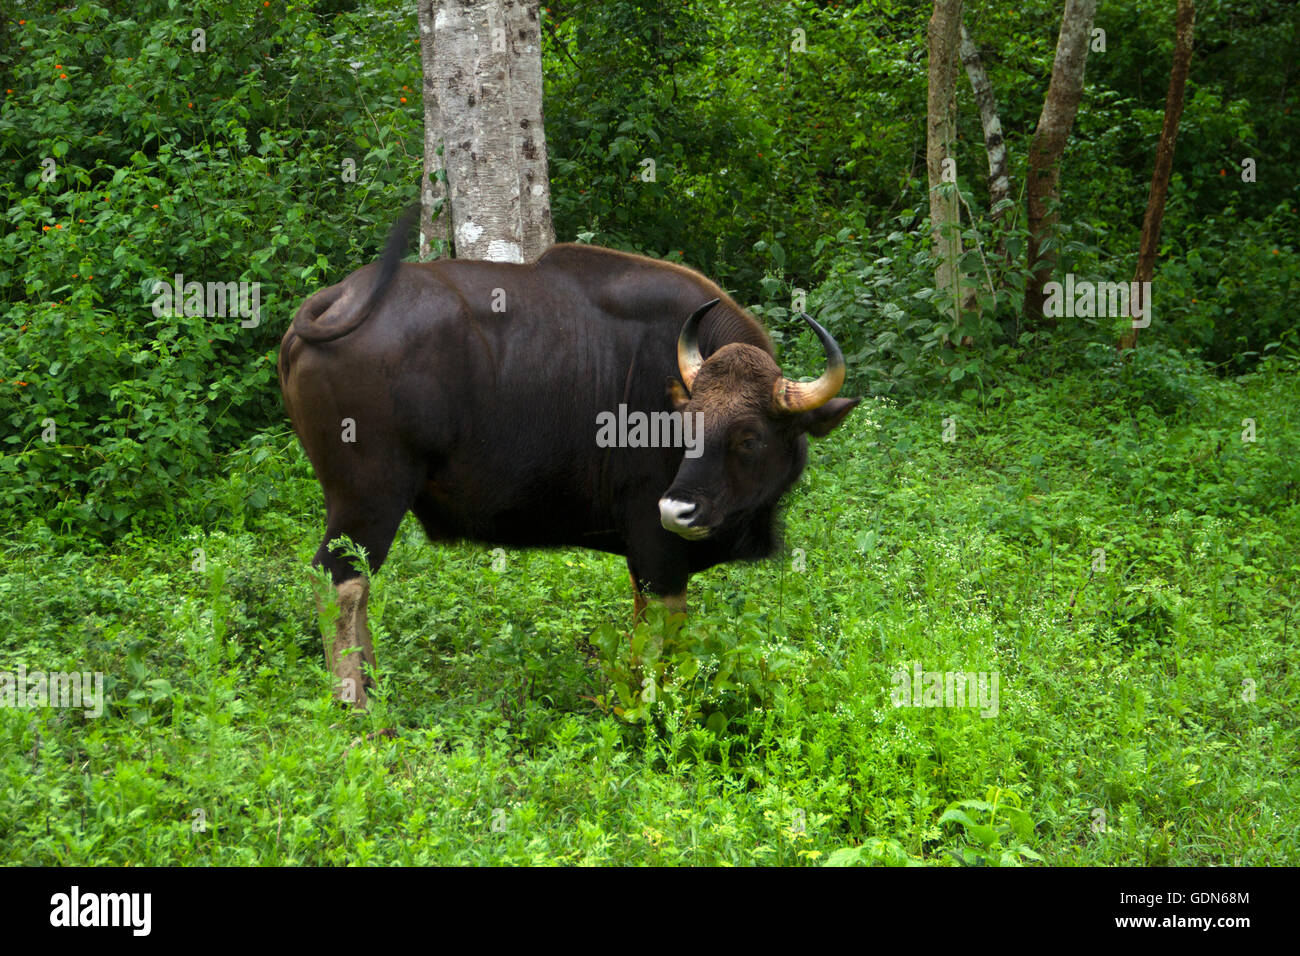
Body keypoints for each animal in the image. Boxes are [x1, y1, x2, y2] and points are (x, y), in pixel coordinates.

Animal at [278, 210, 858, 707]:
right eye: (686, 426)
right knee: (339, 581)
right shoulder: (656, 546)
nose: (678, 511)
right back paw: (358, 704)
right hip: (367, 500)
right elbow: (662, 641)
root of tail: (337, 300)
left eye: (749, 437)